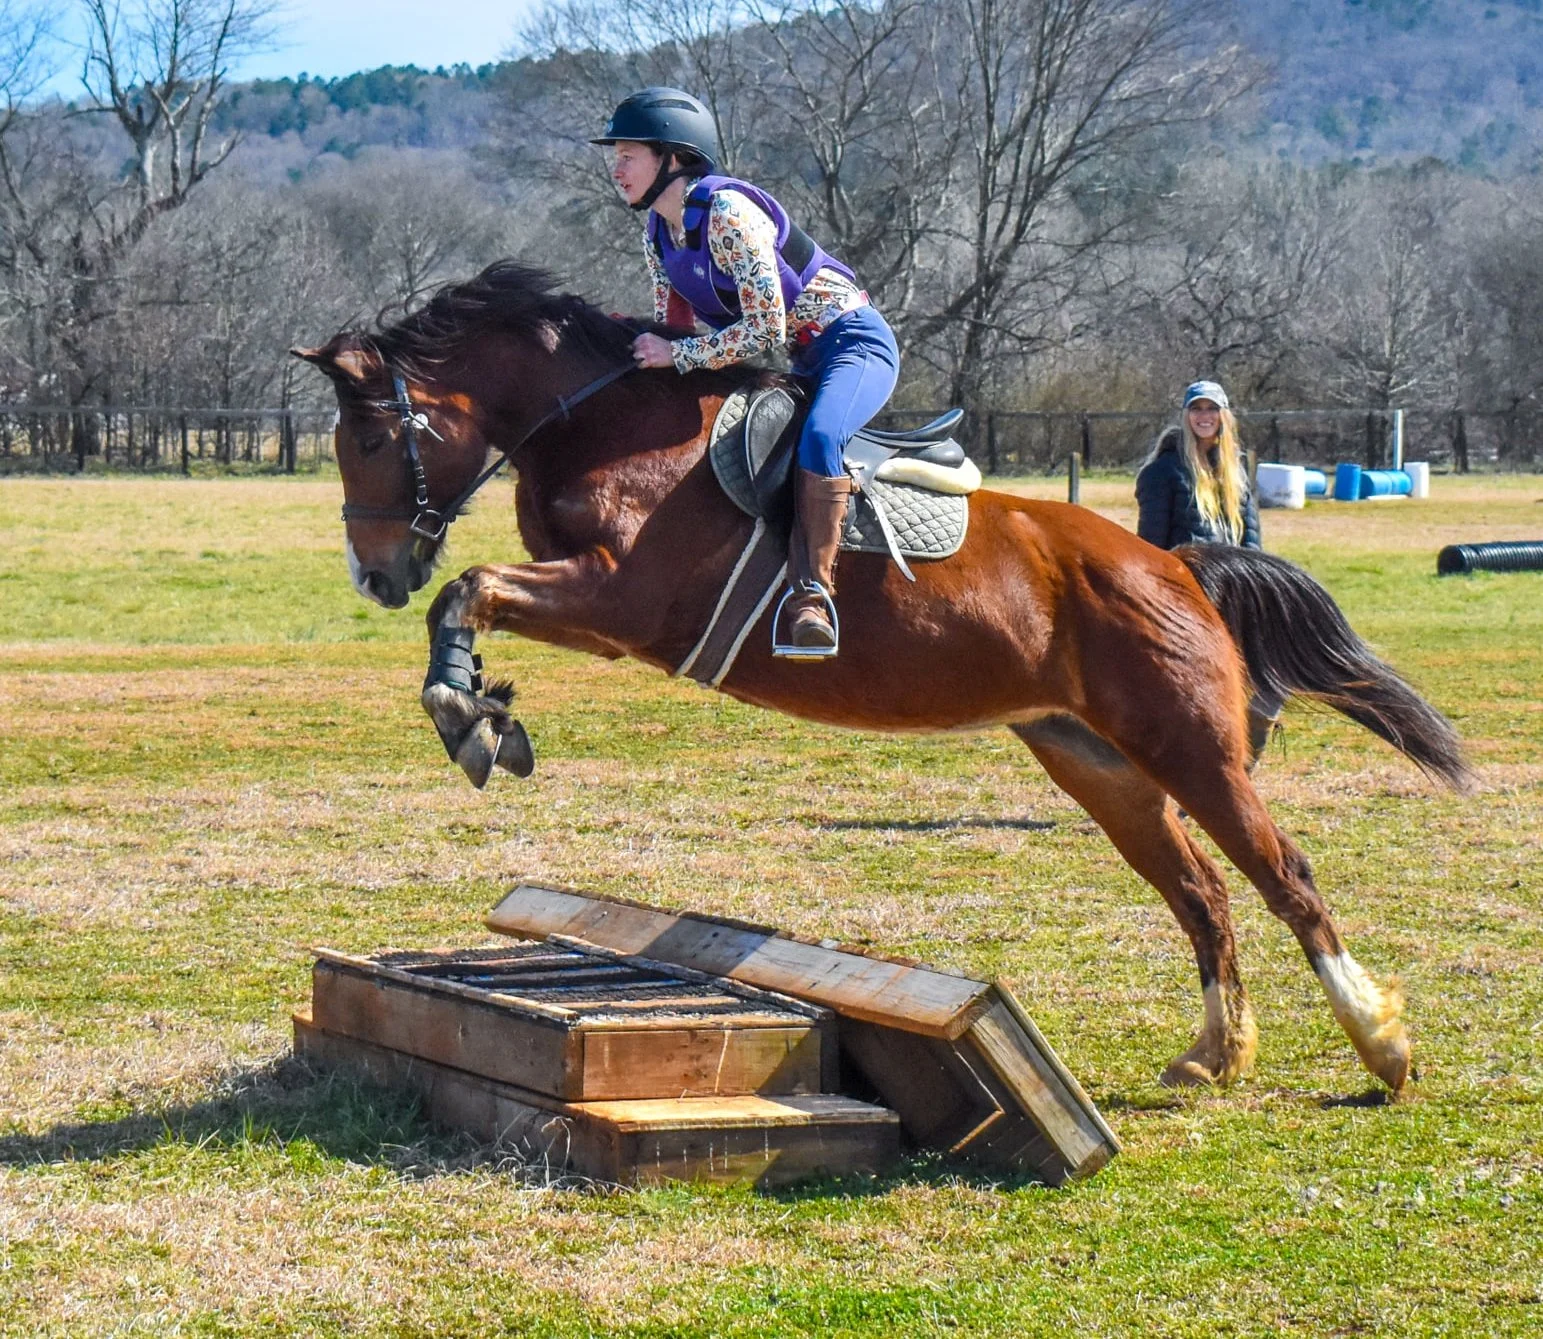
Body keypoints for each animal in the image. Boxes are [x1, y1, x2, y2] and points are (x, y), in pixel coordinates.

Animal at [292, 260, 1471, 1096]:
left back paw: (1379, 1045)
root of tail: (1177, 562)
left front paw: (465, 710)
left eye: (367, 436)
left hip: (1192, 750)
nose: (373, 574)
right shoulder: (605, 613)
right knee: (1203, 894)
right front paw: (479, 710)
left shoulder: (624, 600)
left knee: (1286, 879)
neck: (605, 425)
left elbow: (472, 587)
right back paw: (1214, 1056)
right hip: (1101, 764)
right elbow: (472, 598)